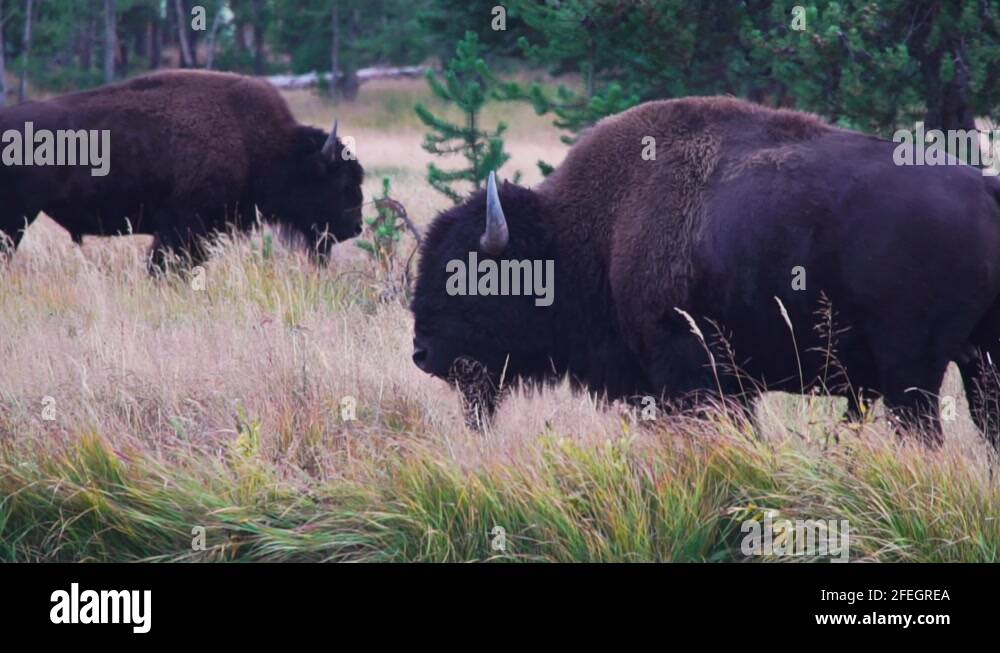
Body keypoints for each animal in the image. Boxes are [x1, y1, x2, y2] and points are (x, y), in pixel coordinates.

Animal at [411, 96, 1000, 445]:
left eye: (468, 276)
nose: (422, 353)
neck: (594, 230)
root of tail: (986, 189)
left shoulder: (689, 372)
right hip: (978, 362)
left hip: (912, 372)